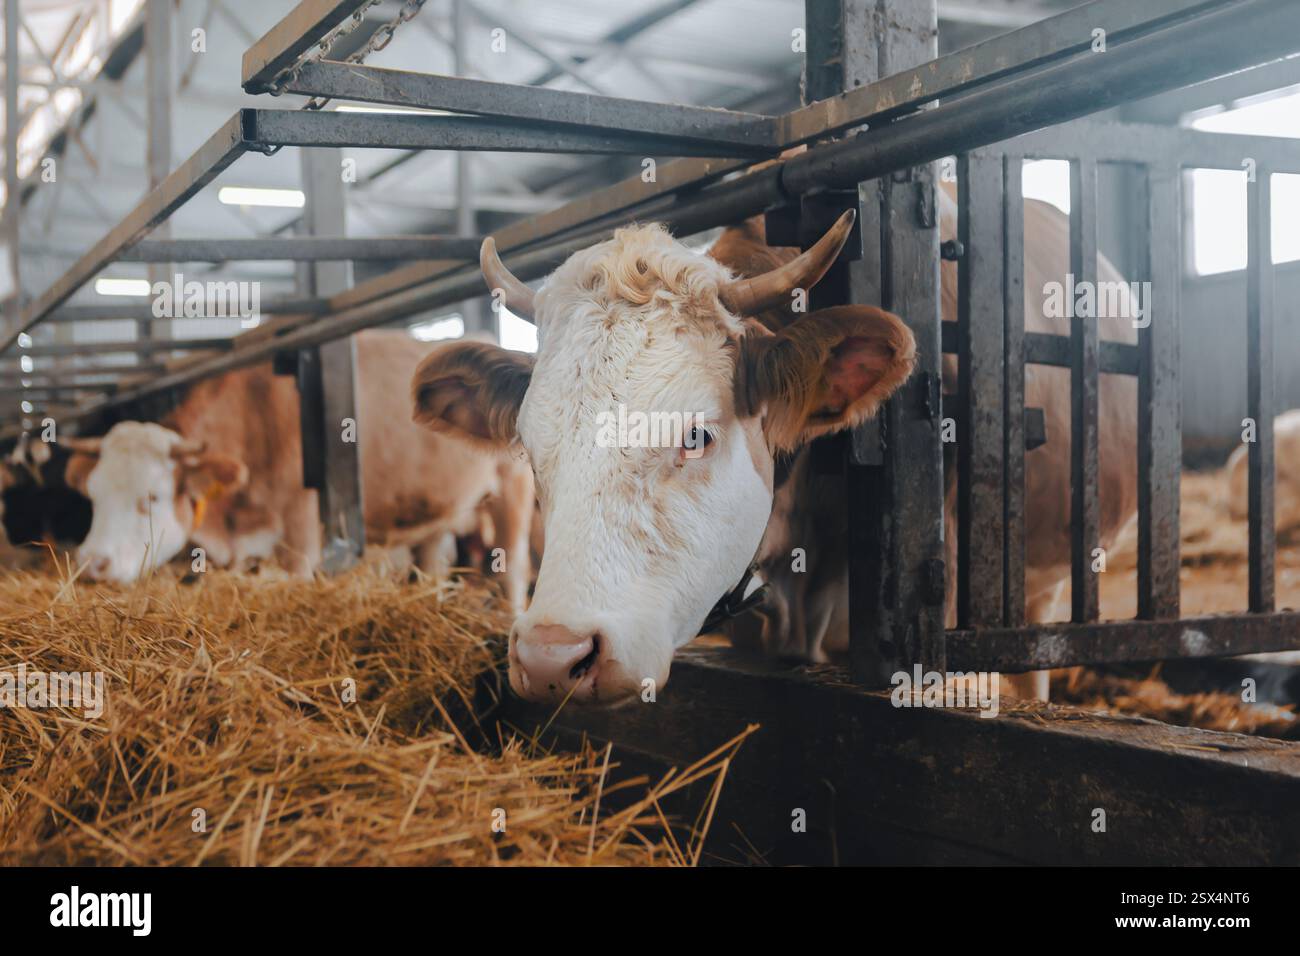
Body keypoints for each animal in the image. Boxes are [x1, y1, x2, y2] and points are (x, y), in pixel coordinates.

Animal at [63, 330, 534, 611]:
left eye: (152, 497)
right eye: (93, 495)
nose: (91, 564)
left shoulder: (302, 533)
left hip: (513, 494)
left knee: (512, 570)